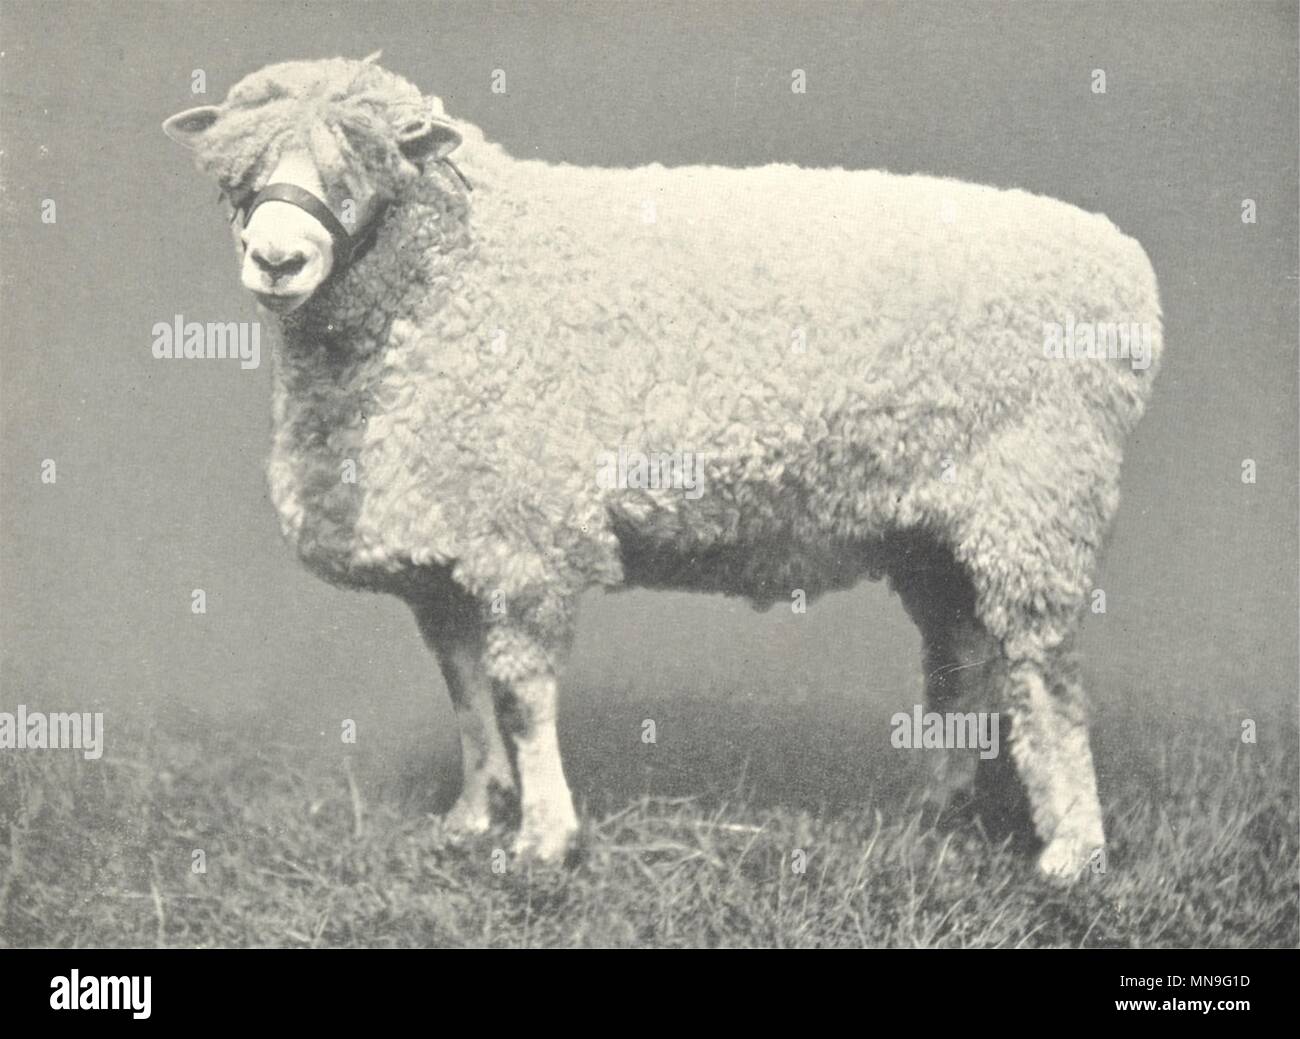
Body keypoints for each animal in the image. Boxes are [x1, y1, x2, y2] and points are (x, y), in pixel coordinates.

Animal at [163, 55, 1163, 877]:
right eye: (236, 177)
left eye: (364, 165)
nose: (276, 259)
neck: (457, 271)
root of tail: (1126, 270)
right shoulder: (443, 548)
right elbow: (465, 691)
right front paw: (474, 816)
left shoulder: (526, 535)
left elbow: (520, 695)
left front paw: (544, 840)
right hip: (937, 523)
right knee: (961, 655)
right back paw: (940, 807)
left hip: (1037, 496)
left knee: (1046, 671)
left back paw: (1072, 852)